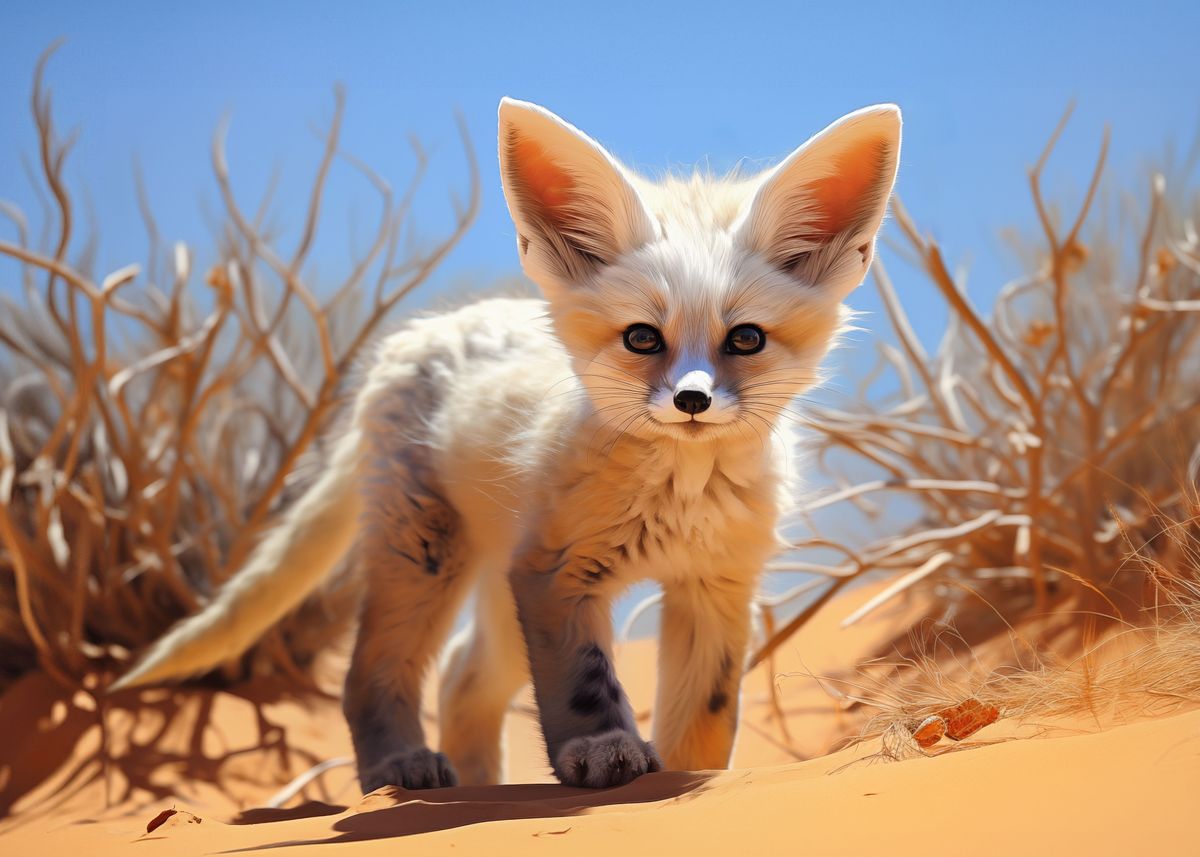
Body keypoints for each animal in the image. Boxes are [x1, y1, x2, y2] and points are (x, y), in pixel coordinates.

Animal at [112, 98, 901, 791]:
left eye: (746, 340)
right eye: (642, 338)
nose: (692, 402)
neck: (681, 493)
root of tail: (411, 337)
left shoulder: (714, 585)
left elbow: (706, 721)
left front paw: (688, 783)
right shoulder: (556, 573)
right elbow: (585, 682)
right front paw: (603, 751)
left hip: (494, 580)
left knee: (463, 678)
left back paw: (480, 786)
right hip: (427, 556)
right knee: (369, 671)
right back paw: (400, 768)